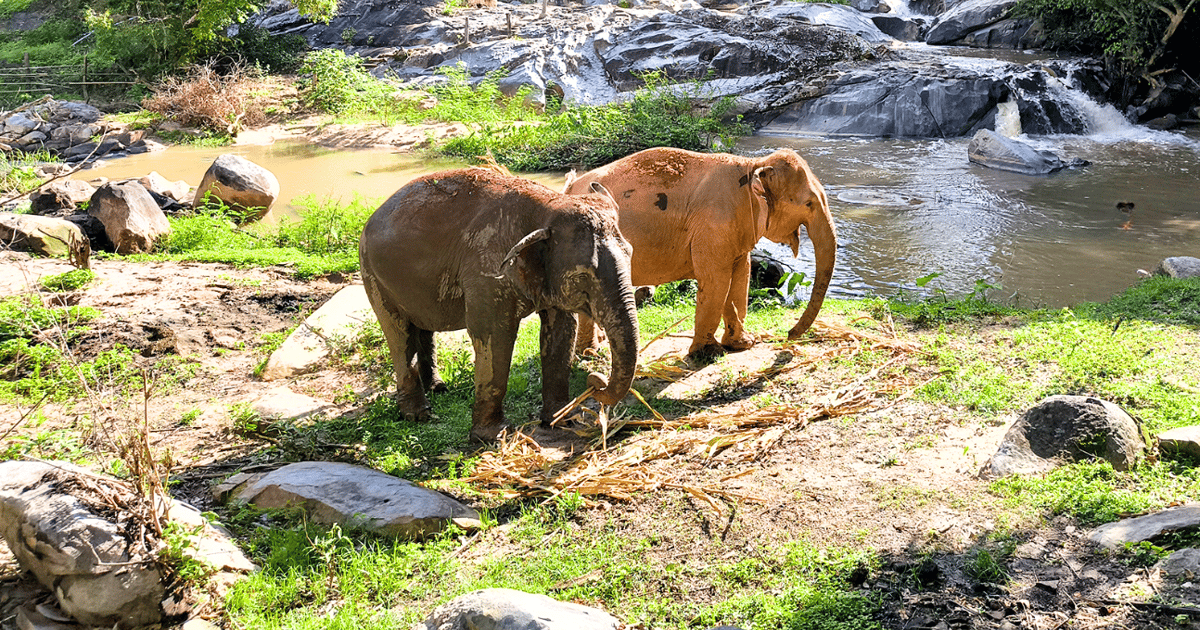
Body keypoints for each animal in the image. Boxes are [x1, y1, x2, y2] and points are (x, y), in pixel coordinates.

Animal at [359, 168, 639, 443]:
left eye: (631, 254)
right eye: (582, 276)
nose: (596, 381)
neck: (547, 207)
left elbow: (562, 330)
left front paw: (562, 421)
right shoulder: (486, 271)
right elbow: (495, 335)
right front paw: (494, 436)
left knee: (422, 326)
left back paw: (438, 387)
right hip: (372, 274)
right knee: (398, 333)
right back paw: (418, 415)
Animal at [564, 147, 836, 359]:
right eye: (809, 203)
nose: (788, 336)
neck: (753, 165)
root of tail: (569, 187)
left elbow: (741, 276)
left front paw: (742, 344)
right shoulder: (713, 224)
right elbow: (716, 280)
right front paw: (708, 353)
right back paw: (591, 353)